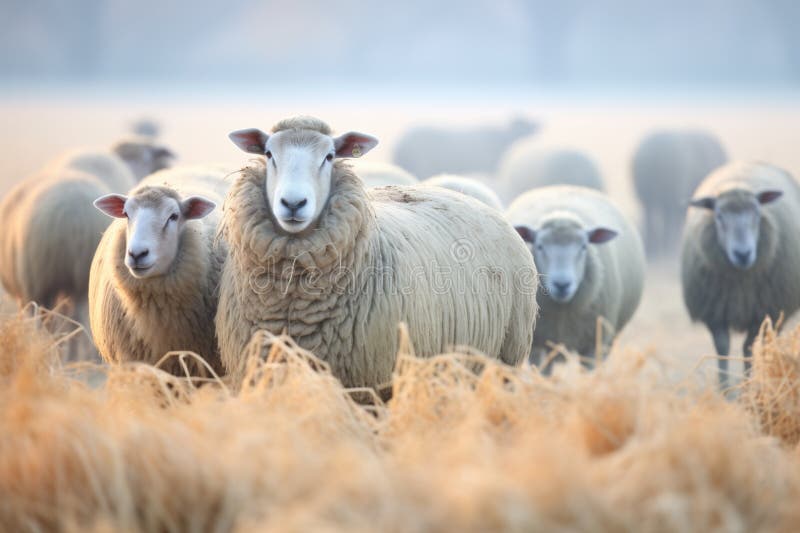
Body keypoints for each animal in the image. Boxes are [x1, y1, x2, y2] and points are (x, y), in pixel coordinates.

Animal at [507, 185, 645, 373]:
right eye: (540, 246)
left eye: (584, 246)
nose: (562, 284)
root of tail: (562, 186)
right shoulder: (538, 345)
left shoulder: (593, 344)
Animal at [681, 161, 800, 389]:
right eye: (719, 216)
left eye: (757, 213)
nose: (742, 254)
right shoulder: (715, 312)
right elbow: (722, 347)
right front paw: (725, 389)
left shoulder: (761, 311)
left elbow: (748, 349)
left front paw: (747, 389)